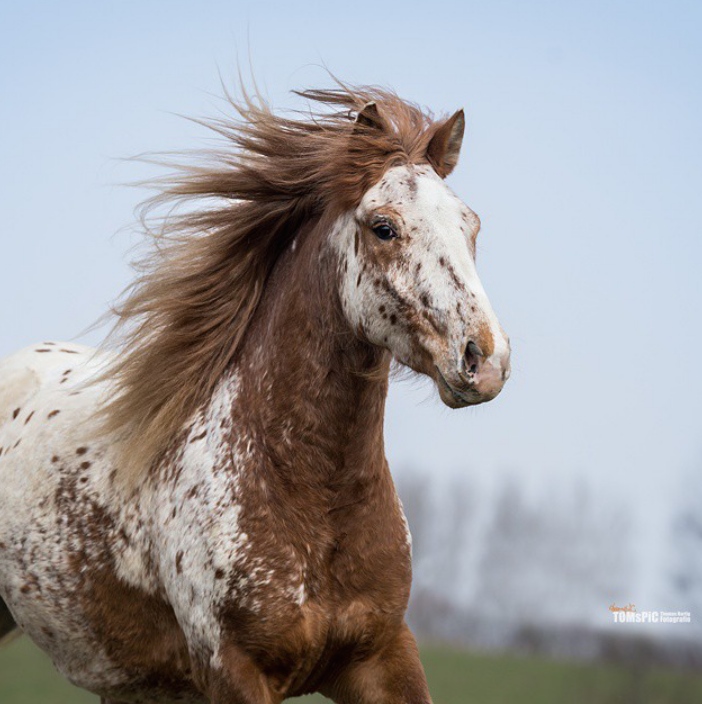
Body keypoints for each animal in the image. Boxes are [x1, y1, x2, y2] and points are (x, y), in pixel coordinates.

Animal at [0, 83, 510, 703]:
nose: (486, 359)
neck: (312, 494)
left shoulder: (382, 655)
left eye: (470, 225)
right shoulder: (235, 671)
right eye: (384, 226)